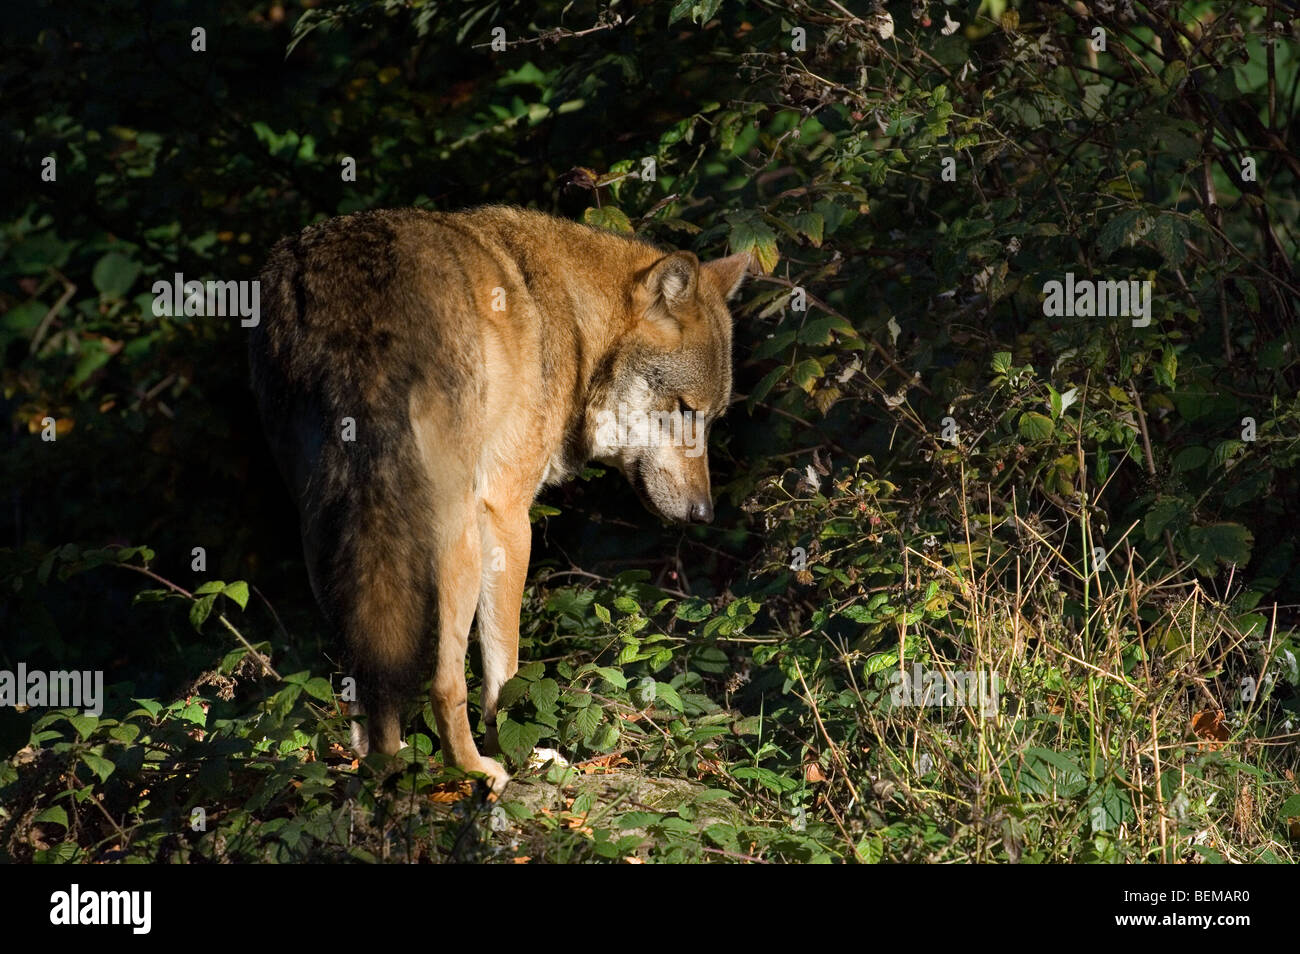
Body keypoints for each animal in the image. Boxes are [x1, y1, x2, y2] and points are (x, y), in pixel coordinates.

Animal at [250, 206, 748, 792]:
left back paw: (380, 765)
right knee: (445, 681)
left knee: (366, 662)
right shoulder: (509, 516)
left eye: (714, 419)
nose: (704, 514)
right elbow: (502, 671)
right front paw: (527, 756)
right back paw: (472, 771)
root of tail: (358, 284)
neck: (578, 327)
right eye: (687, 409)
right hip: (454, 533)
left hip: (328, 526)